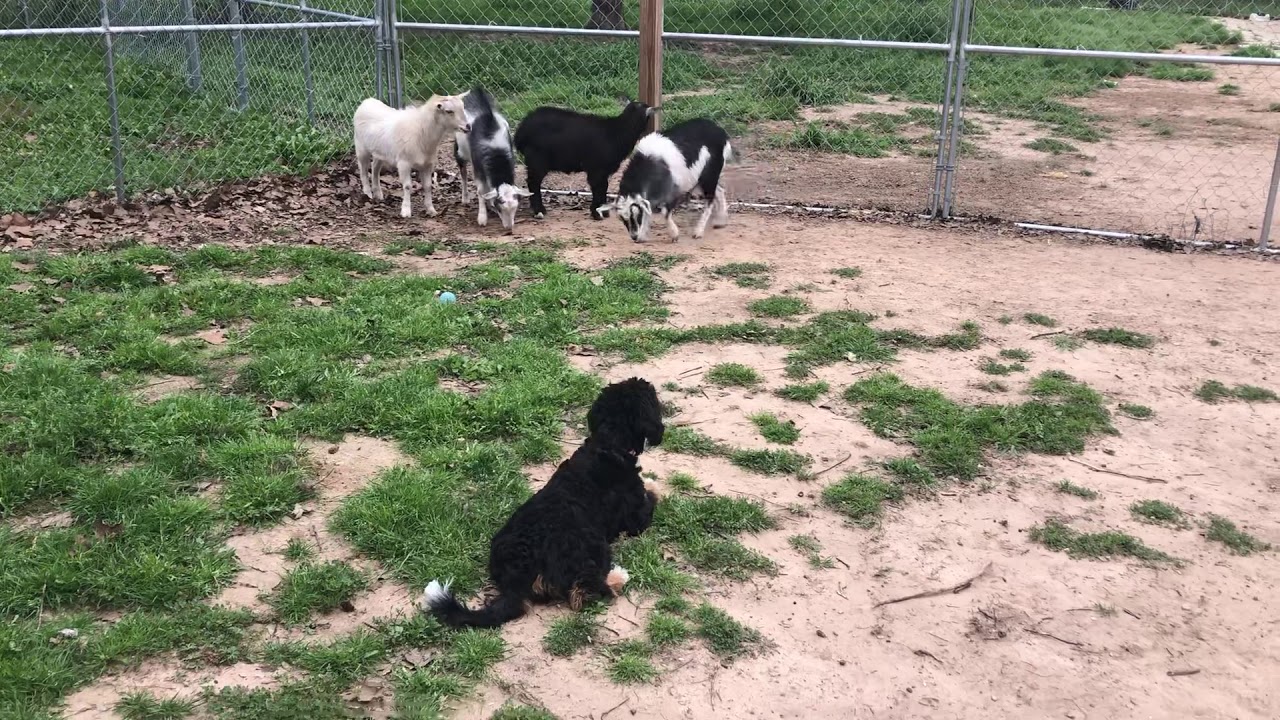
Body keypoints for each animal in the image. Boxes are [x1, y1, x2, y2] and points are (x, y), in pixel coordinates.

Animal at [453, 86, 530, 233]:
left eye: (515, 208)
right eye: (501, 208)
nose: (509, 228)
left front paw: (490, 205)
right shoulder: (478, 167)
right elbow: (480, 191)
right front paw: (482, 218)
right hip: (460, 151)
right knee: (463, 171)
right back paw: (465, 198)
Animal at [514, 98, 655, 221]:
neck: (617, 132)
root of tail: (521, 130)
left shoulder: (603, 170)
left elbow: (603, 187)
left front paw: (603, 211)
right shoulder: (596, 168)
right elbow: (598, 187)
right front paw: (596, 213)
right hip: (537, 160)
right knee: (533, 182)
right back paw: (539, 211)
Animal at [597, 118, 732, 243]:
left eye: (638, 215)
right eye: (622, 219)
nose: (634, 237)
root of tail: (720, 132)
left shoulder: (674, 189)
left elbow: (664, 212)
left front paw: (674, 235)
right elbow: (649, 207)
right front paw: (643, 236)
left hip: (710, 174)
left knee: (710, 199)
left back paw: (698, 231)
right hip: (703, 178)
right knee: (720, 190)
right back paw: (721, 221)